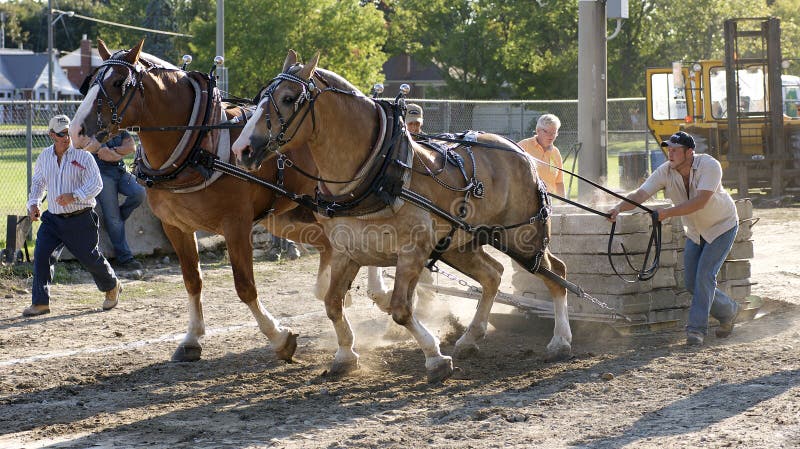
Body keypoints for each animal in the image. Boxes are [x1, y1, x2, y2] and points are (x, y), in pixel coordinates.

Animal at [67, 39, 400, 364]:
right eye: (92, 81)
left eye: (119, 83)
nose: (76, 130)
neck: (198, 146)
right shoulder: (176, 227)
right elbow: (192, 281)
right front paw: (192, 339)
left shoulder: (235, 225)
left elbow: (245, 287)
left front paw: (279, 337)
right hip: (287, 216)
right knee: (328, 247)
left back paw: (378, 292)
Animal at [231, 51, 572, 383]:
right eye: (260, 97)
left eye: (289, 98)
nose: (241, 149)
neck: (378, 169)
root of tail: (519, 151)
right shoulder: (346, 251)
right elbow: (332, 303)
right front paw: (345, 356)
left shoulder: (412, 252)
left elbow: (400, 310)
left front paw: (435, 357)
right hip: (458, 244)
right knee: (493, 275)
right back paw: (470, 338)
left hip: (522, 237)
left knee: (556, 274)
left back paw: (560, 341)